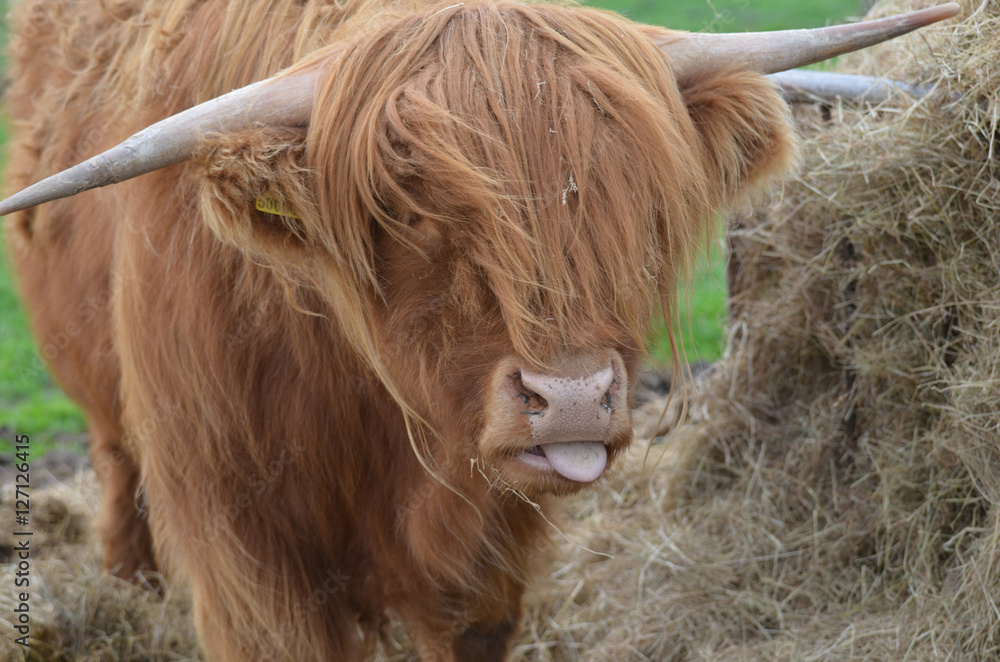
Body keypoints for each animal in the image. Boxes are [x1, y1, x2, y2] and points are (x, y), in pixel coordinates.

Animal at [1, 0, 957, 659]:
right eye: (404, 210)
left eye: (641, 196)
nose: (570, 400)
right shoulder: (247, 551)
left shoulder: (484, 563)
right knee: (114, 457)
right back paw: (129, 580)